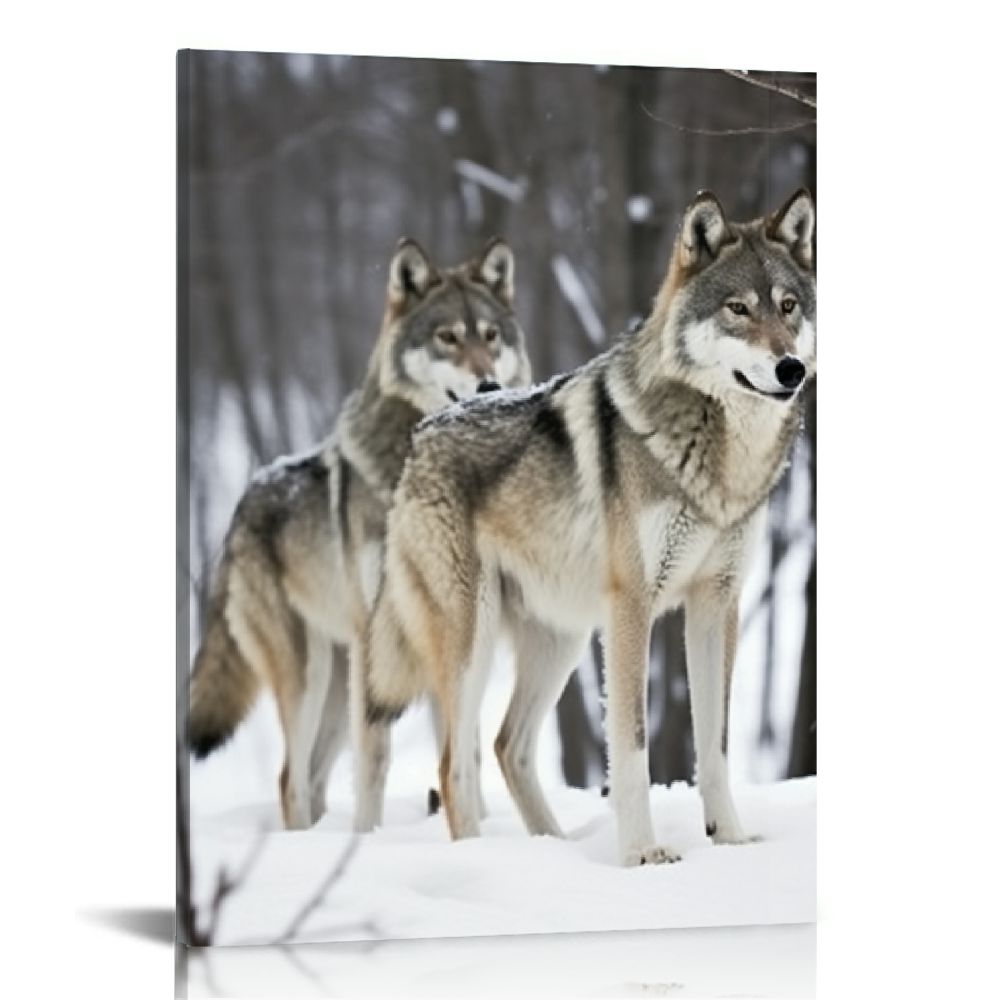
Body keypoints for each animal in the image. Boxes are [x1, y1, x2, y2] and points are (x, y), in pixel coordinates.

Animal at [186, 237, 531, 830]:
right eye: (447, 337)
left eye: (491, 336)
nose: (487, 381)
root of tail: (241, 506)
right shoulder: (381, 635)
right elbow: (379, 753)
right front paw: (367, 835)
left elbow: (464, 748)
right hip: (312, 678)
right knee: (290, 780)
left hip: (338, 684)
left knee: (313, 779)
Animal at [361, 189, 816, 865]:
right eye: (737, 309)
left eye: (788, 307)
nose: (790, 369)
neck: (721, 464)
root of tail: (419, 438)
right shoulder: (632, 607)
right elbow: (632, 745)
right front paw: (643, 855)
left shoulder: (718, 603)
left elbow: (715, 744)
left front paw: (730, 838)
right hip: (473, 640)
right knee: (454, 764)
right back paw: (483, 858)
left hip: (562, 639)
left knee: (507, 745)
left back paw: (553, 847)